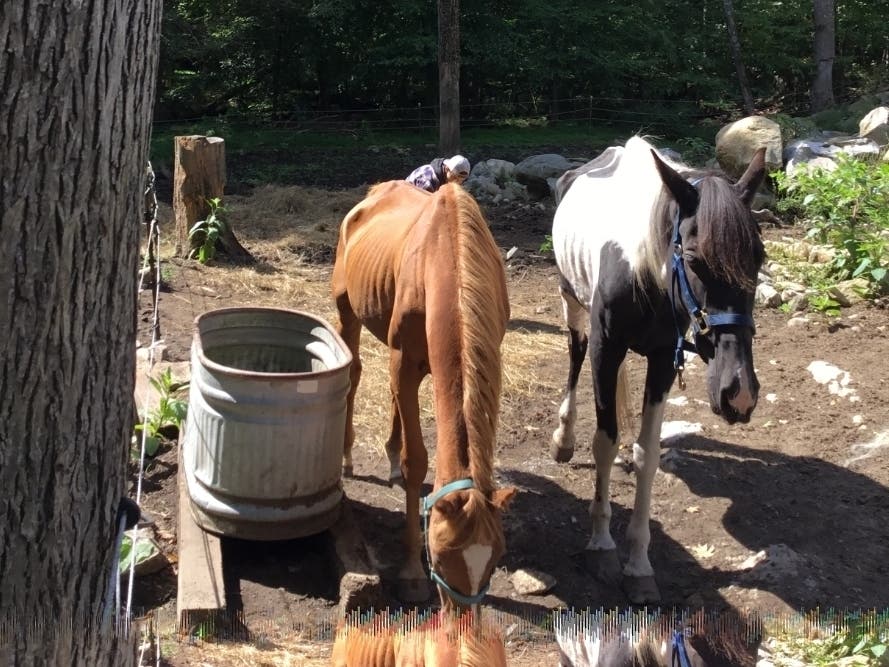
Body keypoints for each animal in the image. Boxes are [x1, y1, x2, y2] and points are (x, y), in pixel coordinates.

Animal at [331, 180, 516, 612]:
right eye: (443, 557)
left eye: (495, 558)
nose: (463, 620)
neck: (448, 259)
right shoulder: (405, 361)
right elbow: (416, 461)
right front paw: (412, 574)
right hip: (347, 310)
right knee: (354, 372)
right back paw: (347, 455)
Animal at [550, 136, 766, 603]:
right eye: (697, 260)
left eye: (758, 258)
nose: (738, 392)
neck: (645, 268)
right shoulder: (605, 348)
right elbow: (604, 442)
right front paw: (601, 546)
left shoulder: (663, 358)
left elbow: (646, 454)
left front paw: (638, 565)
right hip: (571, 299)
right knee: (574, 356)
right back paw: (563, 438)